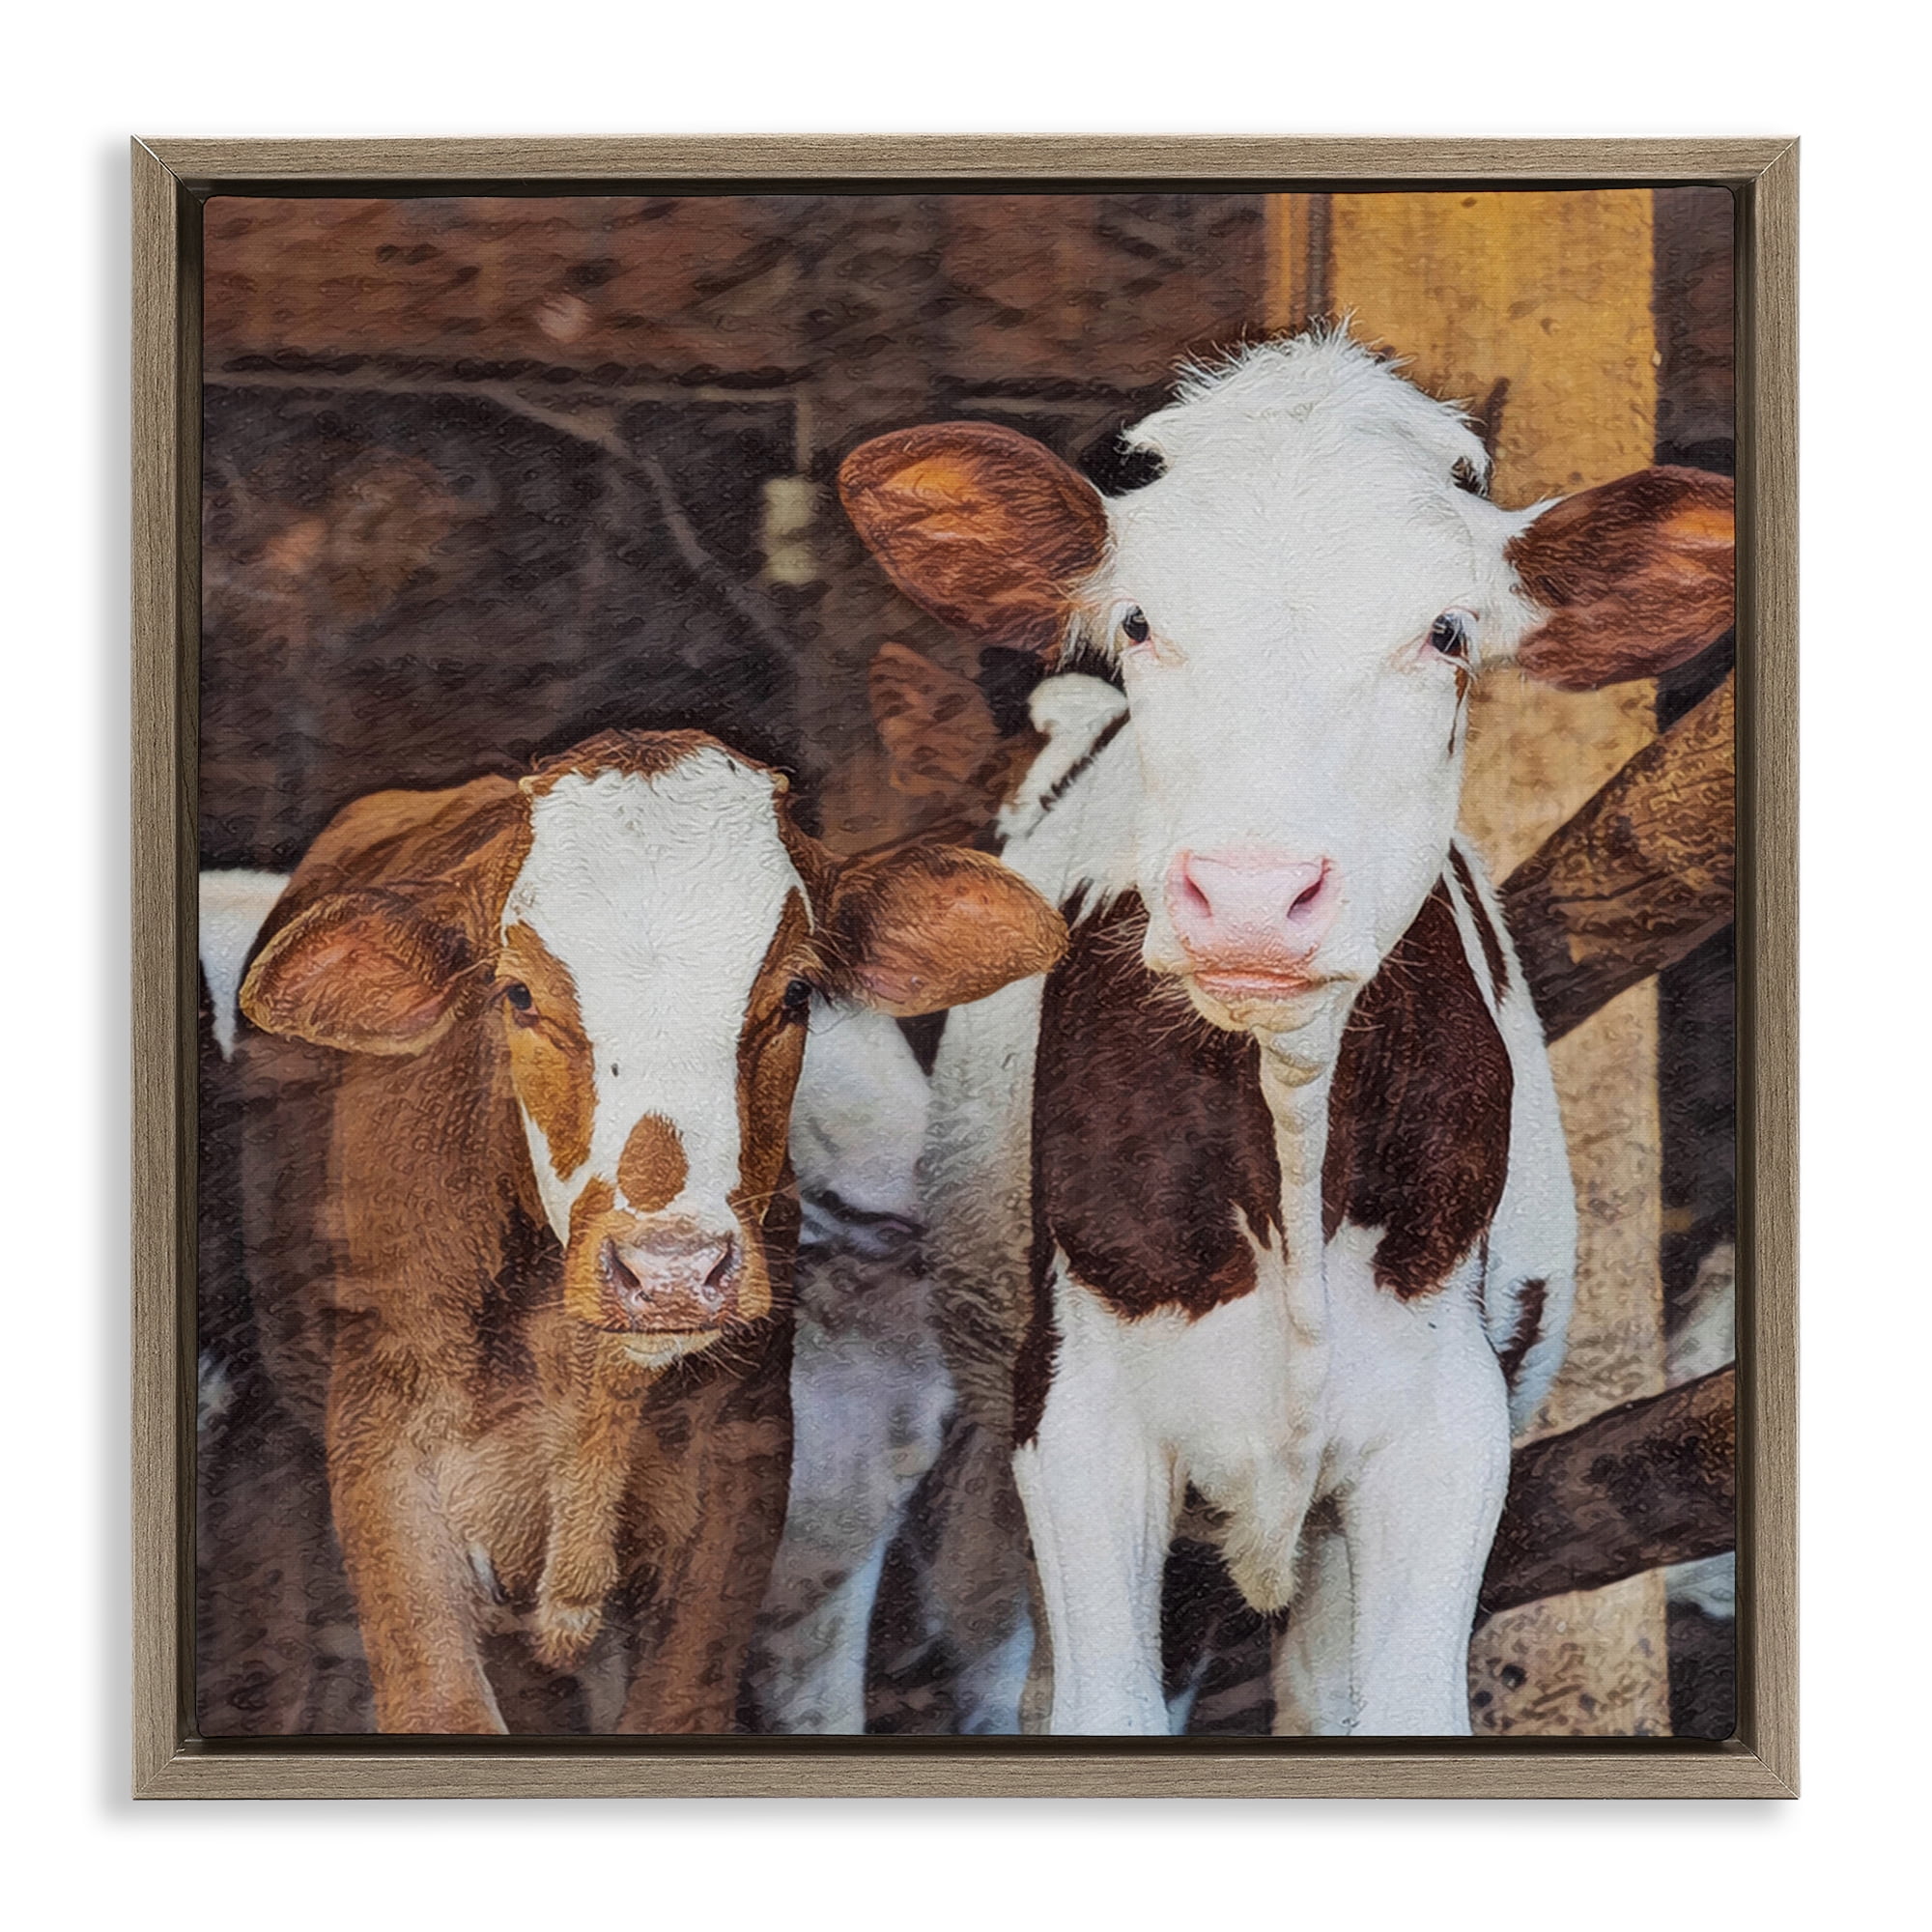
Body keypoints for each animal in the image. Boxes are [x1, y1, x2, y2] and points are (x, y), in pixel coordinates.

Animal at [838, 330, 1735, 1735]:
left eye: (1446, 631)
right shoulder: (1076, 1423)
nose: (1255, 893)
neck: (1293, 1116)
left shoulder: (1447, 1427)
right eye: (1140, 621)